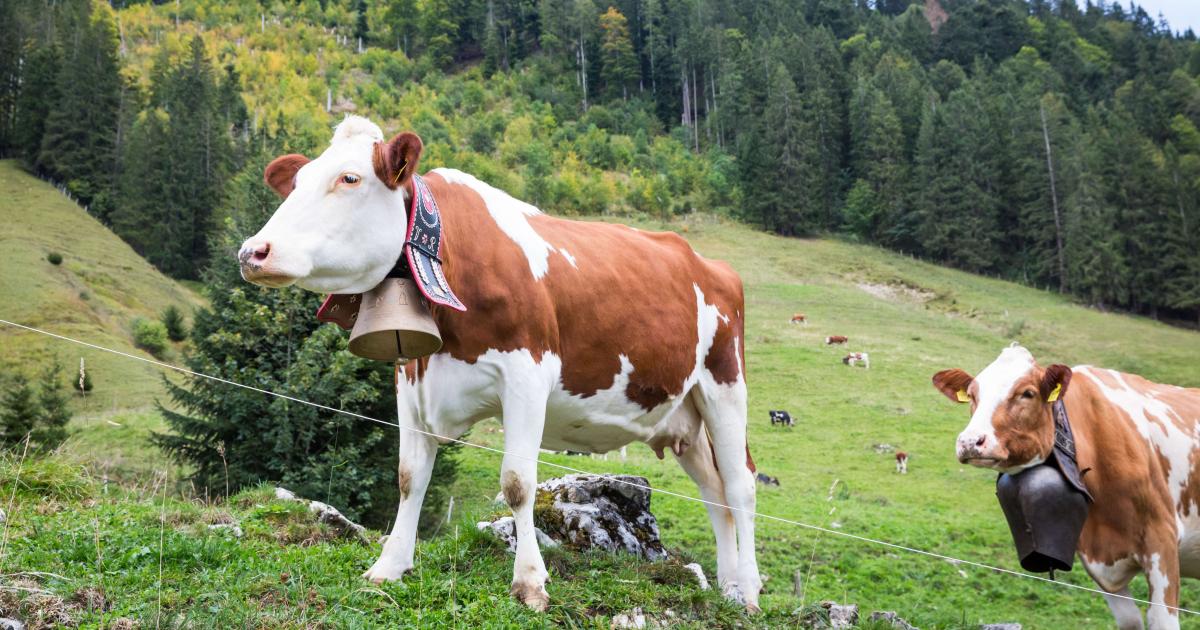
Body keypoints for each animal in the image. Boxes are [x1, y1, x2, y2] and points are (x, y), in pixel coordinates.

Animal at [237, 116, 762, 612]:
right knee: (715, 492)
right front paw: (389, 565)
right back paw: (729, 588)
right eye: (297, 181)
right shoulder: (410, 374)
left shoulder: (527, 375)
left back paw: (751, 592)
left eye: (349, 178)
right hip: (683, 414)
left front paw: (529, 581)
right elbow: (409, 476)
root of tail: (710, 264)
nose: (252, 251)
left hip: (724, 383)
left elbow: (518, 482)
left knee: (740, 486)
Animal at [933, 344, 1200, 630]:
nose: (970, 441)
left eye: (1027, 393)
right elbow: (1130, 621)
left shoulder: (1162, 541)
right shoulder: (1100, 561)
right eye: (972, 395)